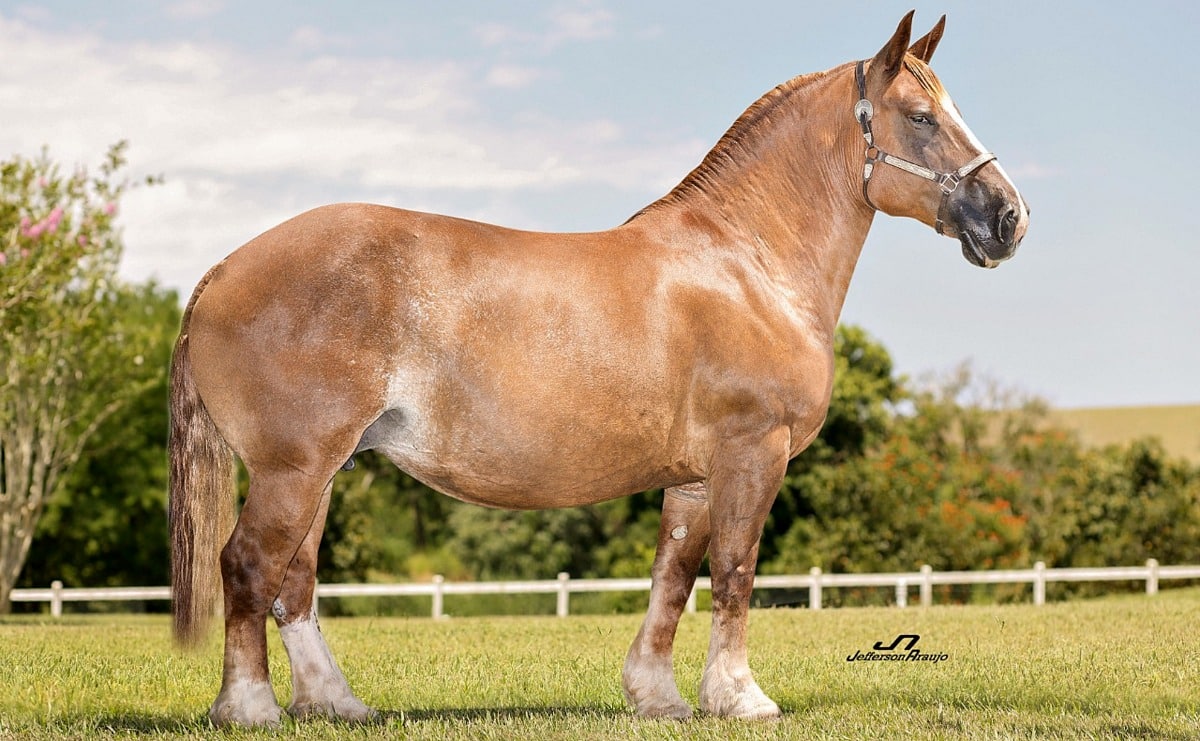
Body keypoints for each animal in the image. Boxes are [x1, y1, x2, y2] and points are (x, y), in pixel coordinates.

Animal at [169, 11, 1028, 726]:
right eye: (920, 117)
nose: (1010, 216)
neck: (746, 263)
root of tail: (222, 269)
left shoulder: (695, 476)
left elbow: (673, 578)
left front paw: (659, 697)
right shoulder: (754, 452)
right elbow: (736, 571)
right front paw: (742, 697)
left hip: (321, 472)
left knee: (294, 583)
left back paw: (336, 703)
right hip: (295, 468)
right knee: (248, 566)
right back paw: (249, 708)